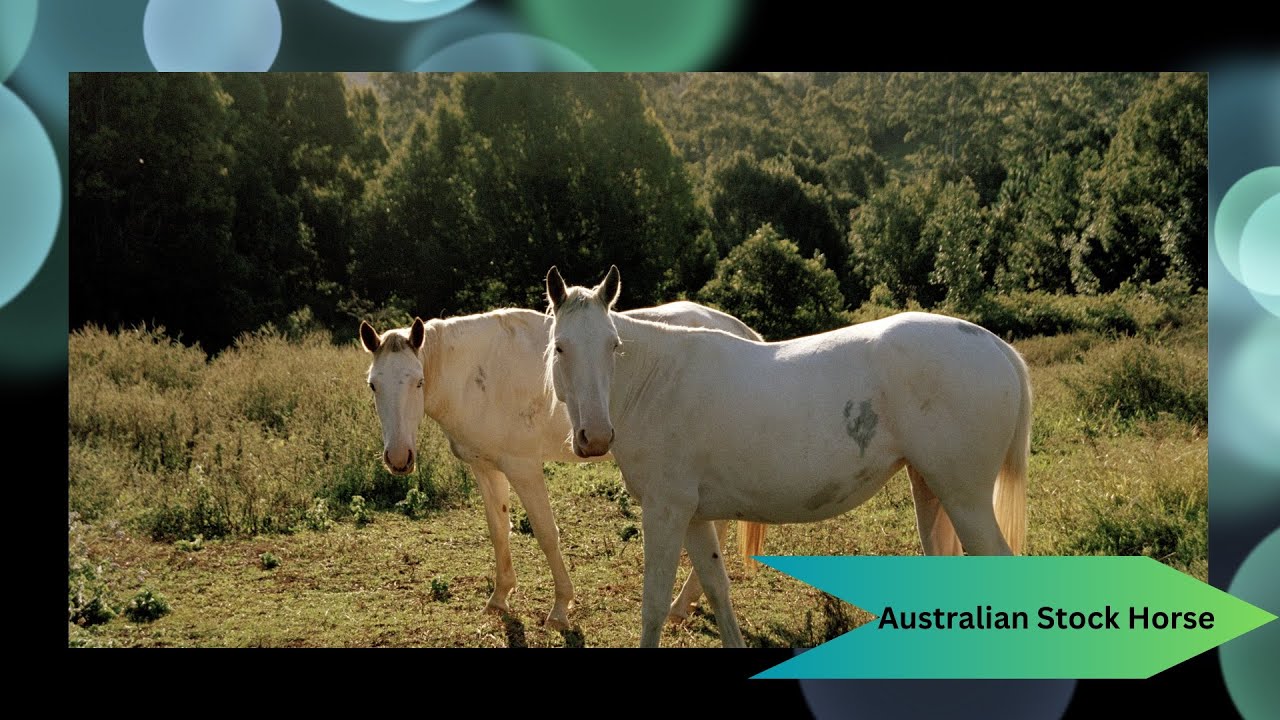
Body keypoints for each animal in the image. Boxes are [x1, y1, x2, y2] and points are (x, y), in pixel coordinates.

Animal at [359, 302, 768, 631]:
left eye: (418, 382)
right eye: (373, 385)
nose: (399, 458)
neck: (477, 376)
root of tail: (741, 332)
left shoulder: (523, 468)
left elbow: (546, 533)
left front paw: (560, 608)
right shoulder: (485, 468)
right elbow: (499, 531)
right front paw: (499, 598)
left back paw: (681, 604)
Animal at [543, 266, 1031, 647]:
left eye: (614, 345)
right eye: (561, 347)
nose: (595, 436)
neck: (657, 382)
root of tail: (993, 345)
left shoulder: (665, 512)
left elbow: (654, 605)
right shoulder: (693, 516)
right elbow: (718, 590)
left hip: (965, 500)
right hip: (931, 489)